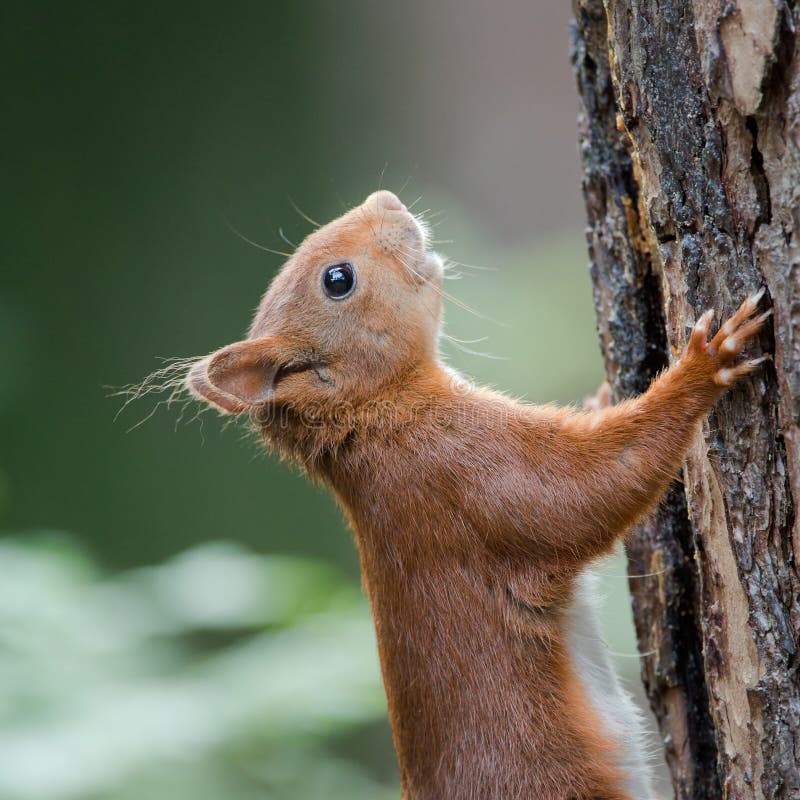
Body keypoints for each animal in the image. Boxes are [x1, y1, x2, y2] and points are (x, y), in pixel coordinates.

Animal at [184, 189, 770, 800]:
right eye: (337, 280)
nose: (387, 200)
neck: (377, 413)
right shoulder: (463, 469)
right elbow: (584, 489)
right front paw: (703, 365)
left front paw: (602, 395)